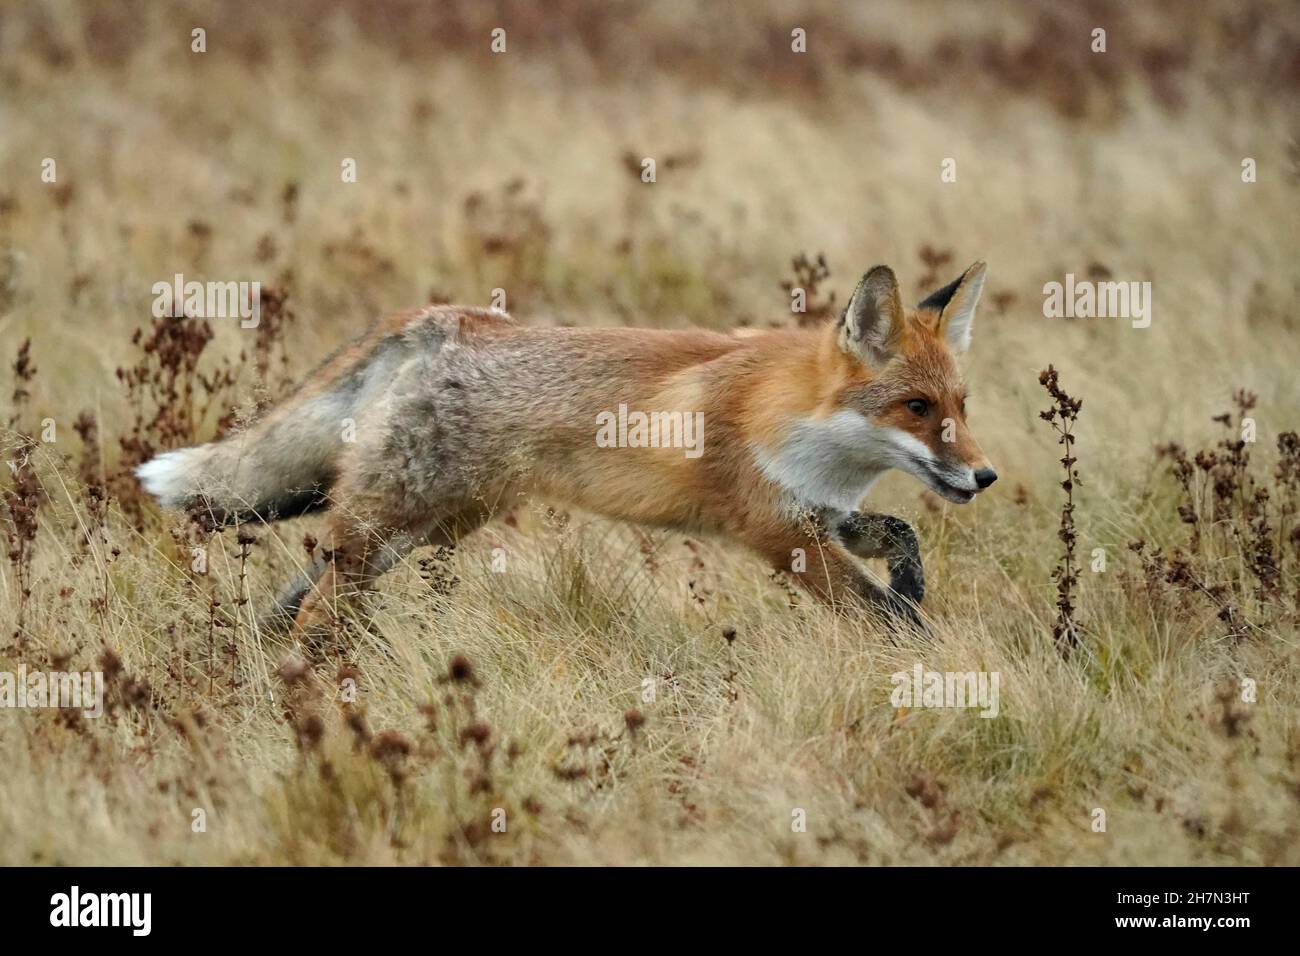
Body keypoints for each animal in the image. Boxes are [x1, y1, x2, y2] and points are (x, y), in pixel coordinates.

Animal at [136, 260, 996, 635]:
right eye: (916, 409)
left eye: (960, 405)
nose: (983, 476)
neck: (796, 422)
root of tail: (449, 319)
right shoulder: (776, 530)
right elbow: (876, 611)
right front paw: (921, 650)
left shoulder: (821, 512)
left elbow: (901, 535)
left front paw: (913, 585)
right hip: (394, 526)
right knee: (317, 600)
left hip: (419, 530)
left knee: (302, 585)